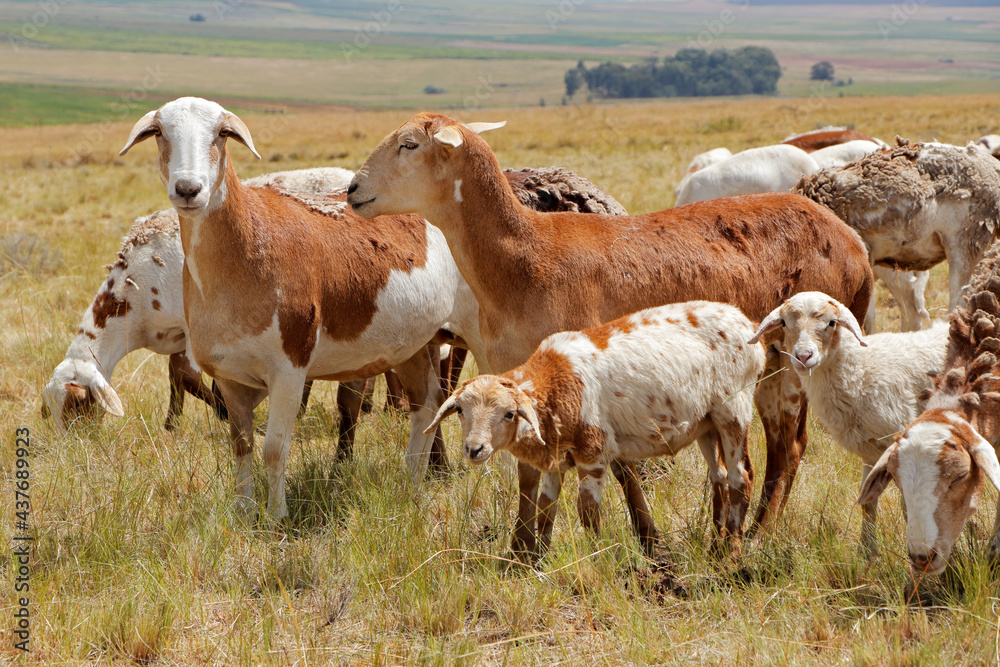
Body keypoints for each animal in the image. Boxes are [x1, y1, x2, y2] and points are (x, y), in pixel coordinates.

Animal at [425, 301, 765, 558]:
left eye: (509, 414)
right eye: (460, 411)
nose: (474, 449)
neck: (554, 383)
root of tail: (746, 323)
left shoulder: (592, 456)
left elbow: (587, 512)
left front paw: (595, 558)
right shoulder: (555, 460)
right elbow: (546, 510)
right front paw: (539, 563)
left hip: (734, 408)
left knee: (741, 477)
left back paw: (731, 554)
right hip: (706, 422)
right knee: (719, 476)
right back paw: (715, 547)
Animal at [748, 292, 947, 554]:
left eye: (832, 323)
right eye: (783, 323)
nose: (803, 356)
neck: (860, 370)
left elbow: (909, 505)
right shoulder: (872, 451)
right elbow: (868, 500)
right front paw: (868, 551)